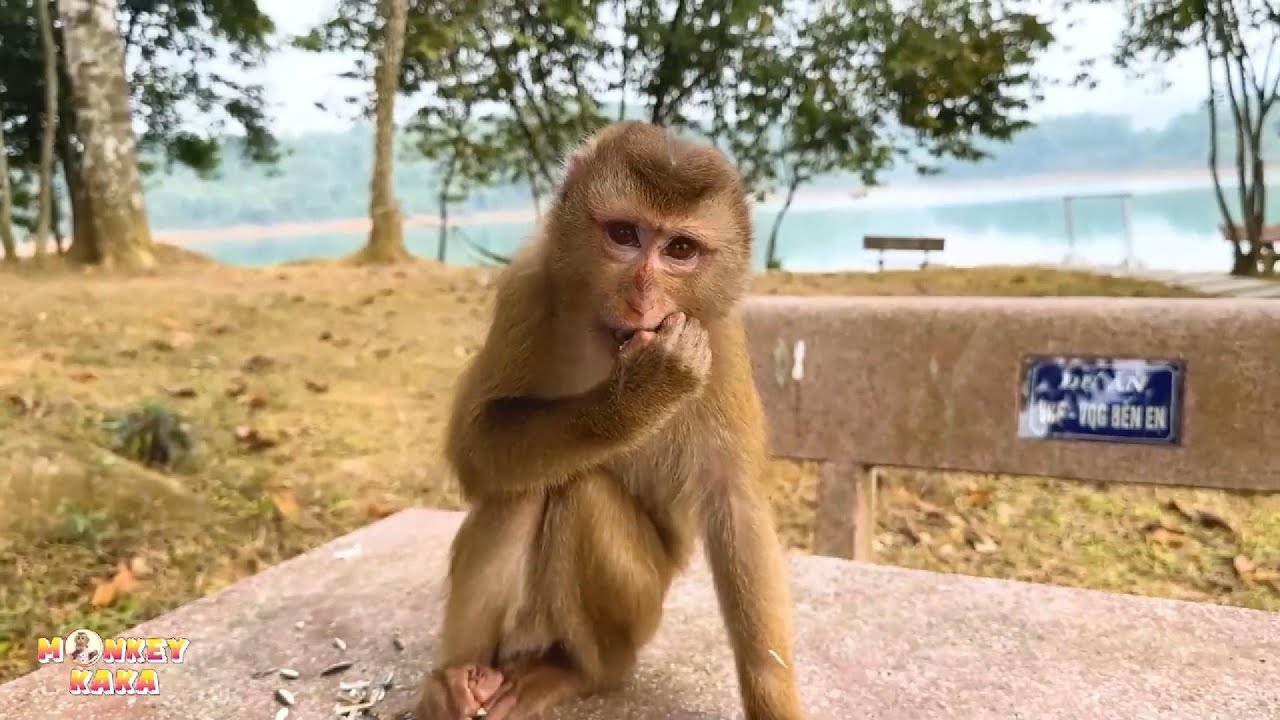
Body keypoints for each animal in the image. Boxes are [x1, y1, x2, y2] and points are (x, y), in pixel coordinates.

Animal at [415, 121, 806, 720]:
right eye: (623, 234)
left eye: (681, 249)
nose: (641, 294)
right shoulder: (526, 287)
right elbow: (476, 445)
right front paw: (638, 398)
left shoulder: (718, 339)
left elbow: (734, 504)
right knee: (521, 491)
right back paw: (455, 683)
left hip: (641, 611)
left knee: (581, 498)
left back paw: (578, 671)